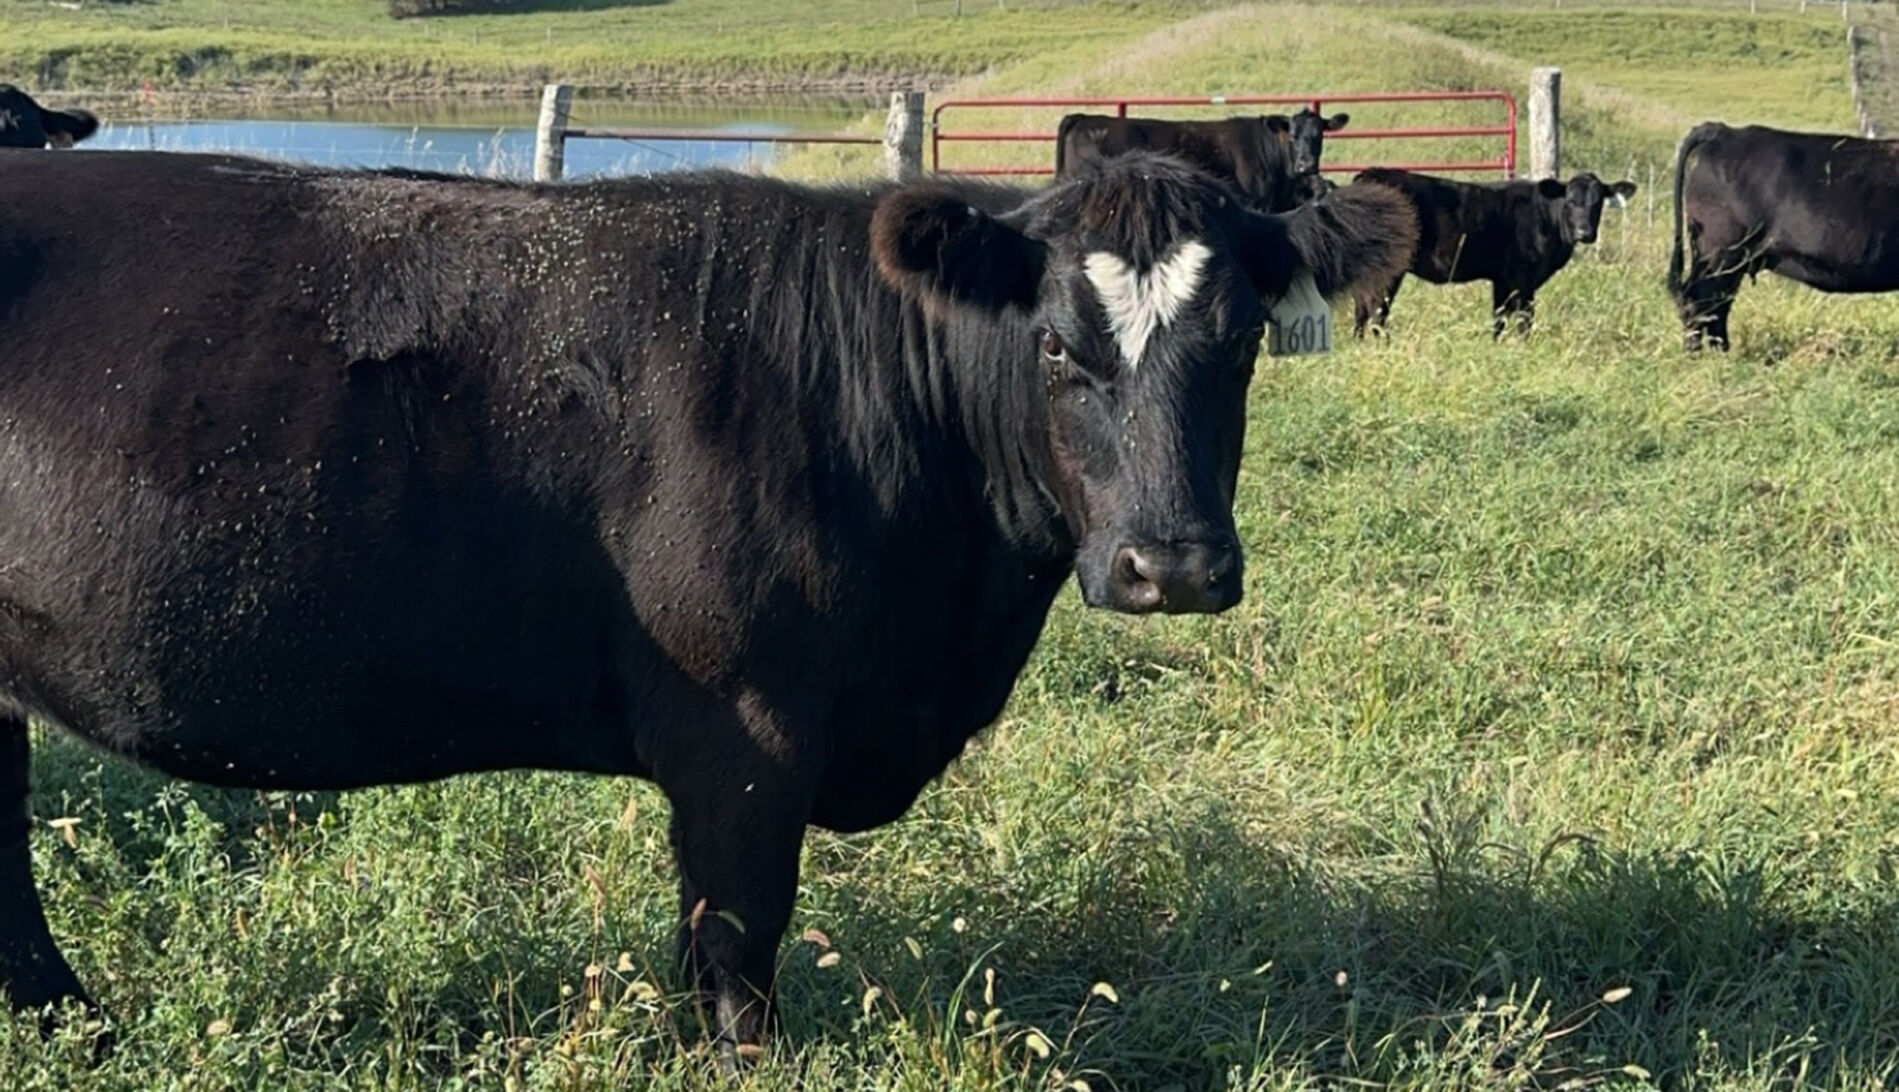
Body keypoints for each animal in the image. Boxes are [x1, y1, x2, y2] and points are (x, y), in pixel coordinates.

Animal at [1349, 168, 1637, 338]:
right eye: (1570, 201)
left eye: (1598, 203)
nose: (1584, 232)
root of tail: (1367, 175)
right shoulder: (1523, 279)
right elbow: (1523, 320)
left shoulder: (1502, 280)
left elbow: (1498, 319)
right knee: (1377, 312)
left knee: (1362, 310)